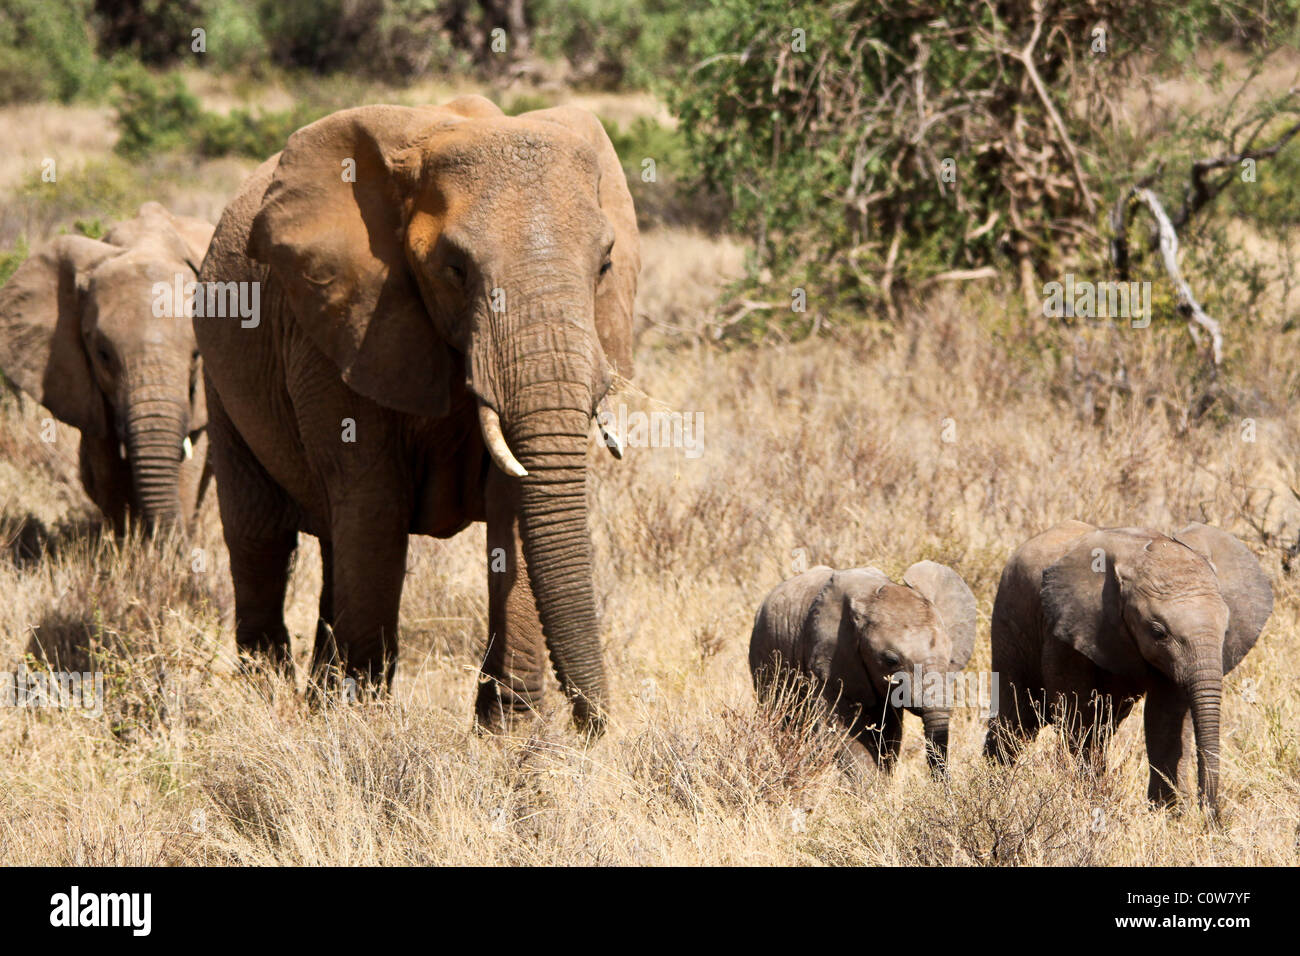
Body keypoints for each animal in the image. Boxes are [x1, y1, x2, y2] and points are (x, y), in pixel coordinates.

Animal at [194, 95, 638, 734]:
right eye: (455, 269)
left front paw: (510, 738)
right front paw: (364, 729)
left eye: (604, 264)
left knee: (335, 544)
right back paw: (266, 702)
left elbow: (513, 506)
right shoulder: (343, 325)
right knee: (261, 536)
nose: (594, 727)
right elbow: (375, 500)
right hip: (219, 369)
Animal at [983, 521, 1273, 813]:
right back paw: (994, 789)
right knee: (1017, 717)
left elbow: (1166, 716)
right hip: (1010, 618)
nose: (1210, 814)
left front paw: (1168, 815)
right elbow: (1077, 713)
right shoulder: (1064, 630)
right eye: (1158, 632)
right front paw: (1087, 800)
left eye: (1226, 629)